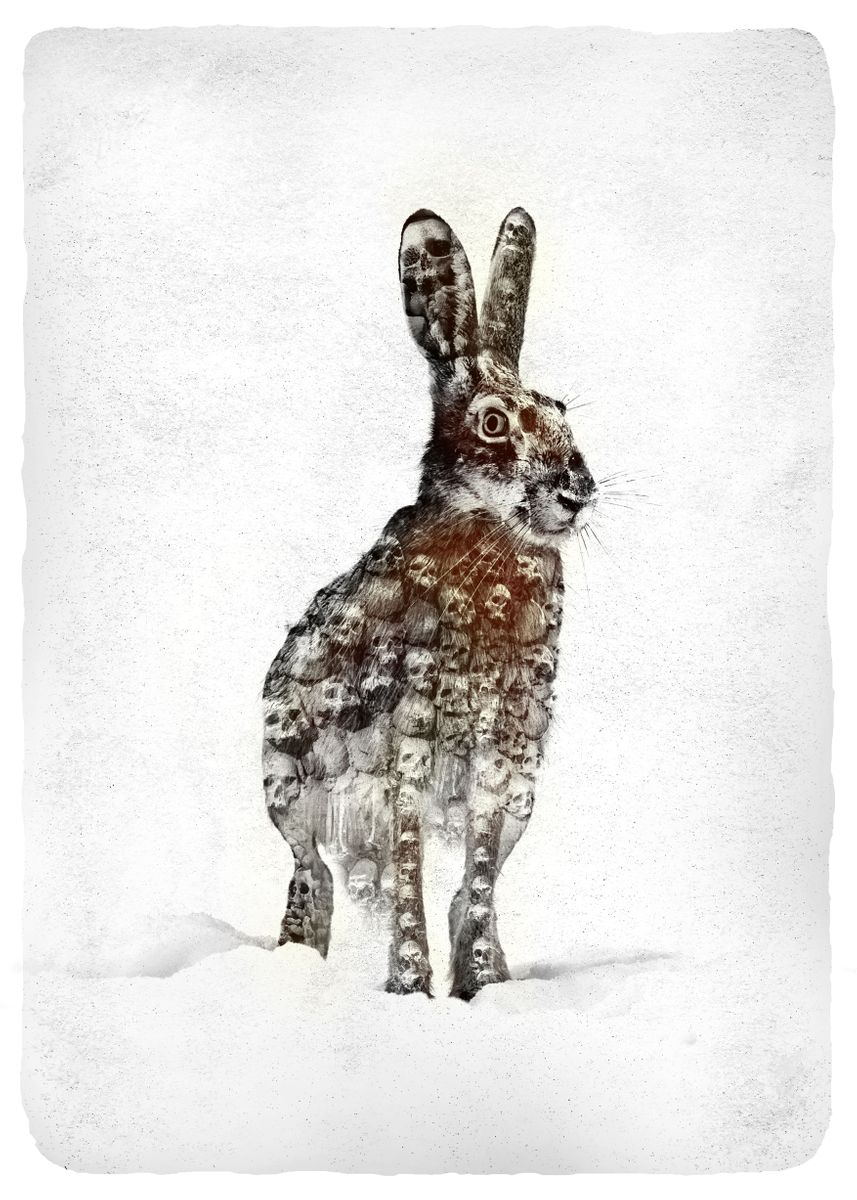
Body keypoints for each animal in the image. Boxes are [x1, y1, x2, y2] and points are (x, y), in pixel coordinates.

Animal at [263, 208, 597, 999]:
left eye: (562, 412)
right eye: (493, 424)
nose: (577, 491)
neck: (491, 536)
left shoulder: (505, 757)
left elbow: (474, 875)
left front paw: (479, 987)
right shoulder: (407, 746)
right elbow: (415, 865)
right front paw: (411, 986)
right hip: (289, 791)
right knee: (313, 874)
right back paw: (297, 964)